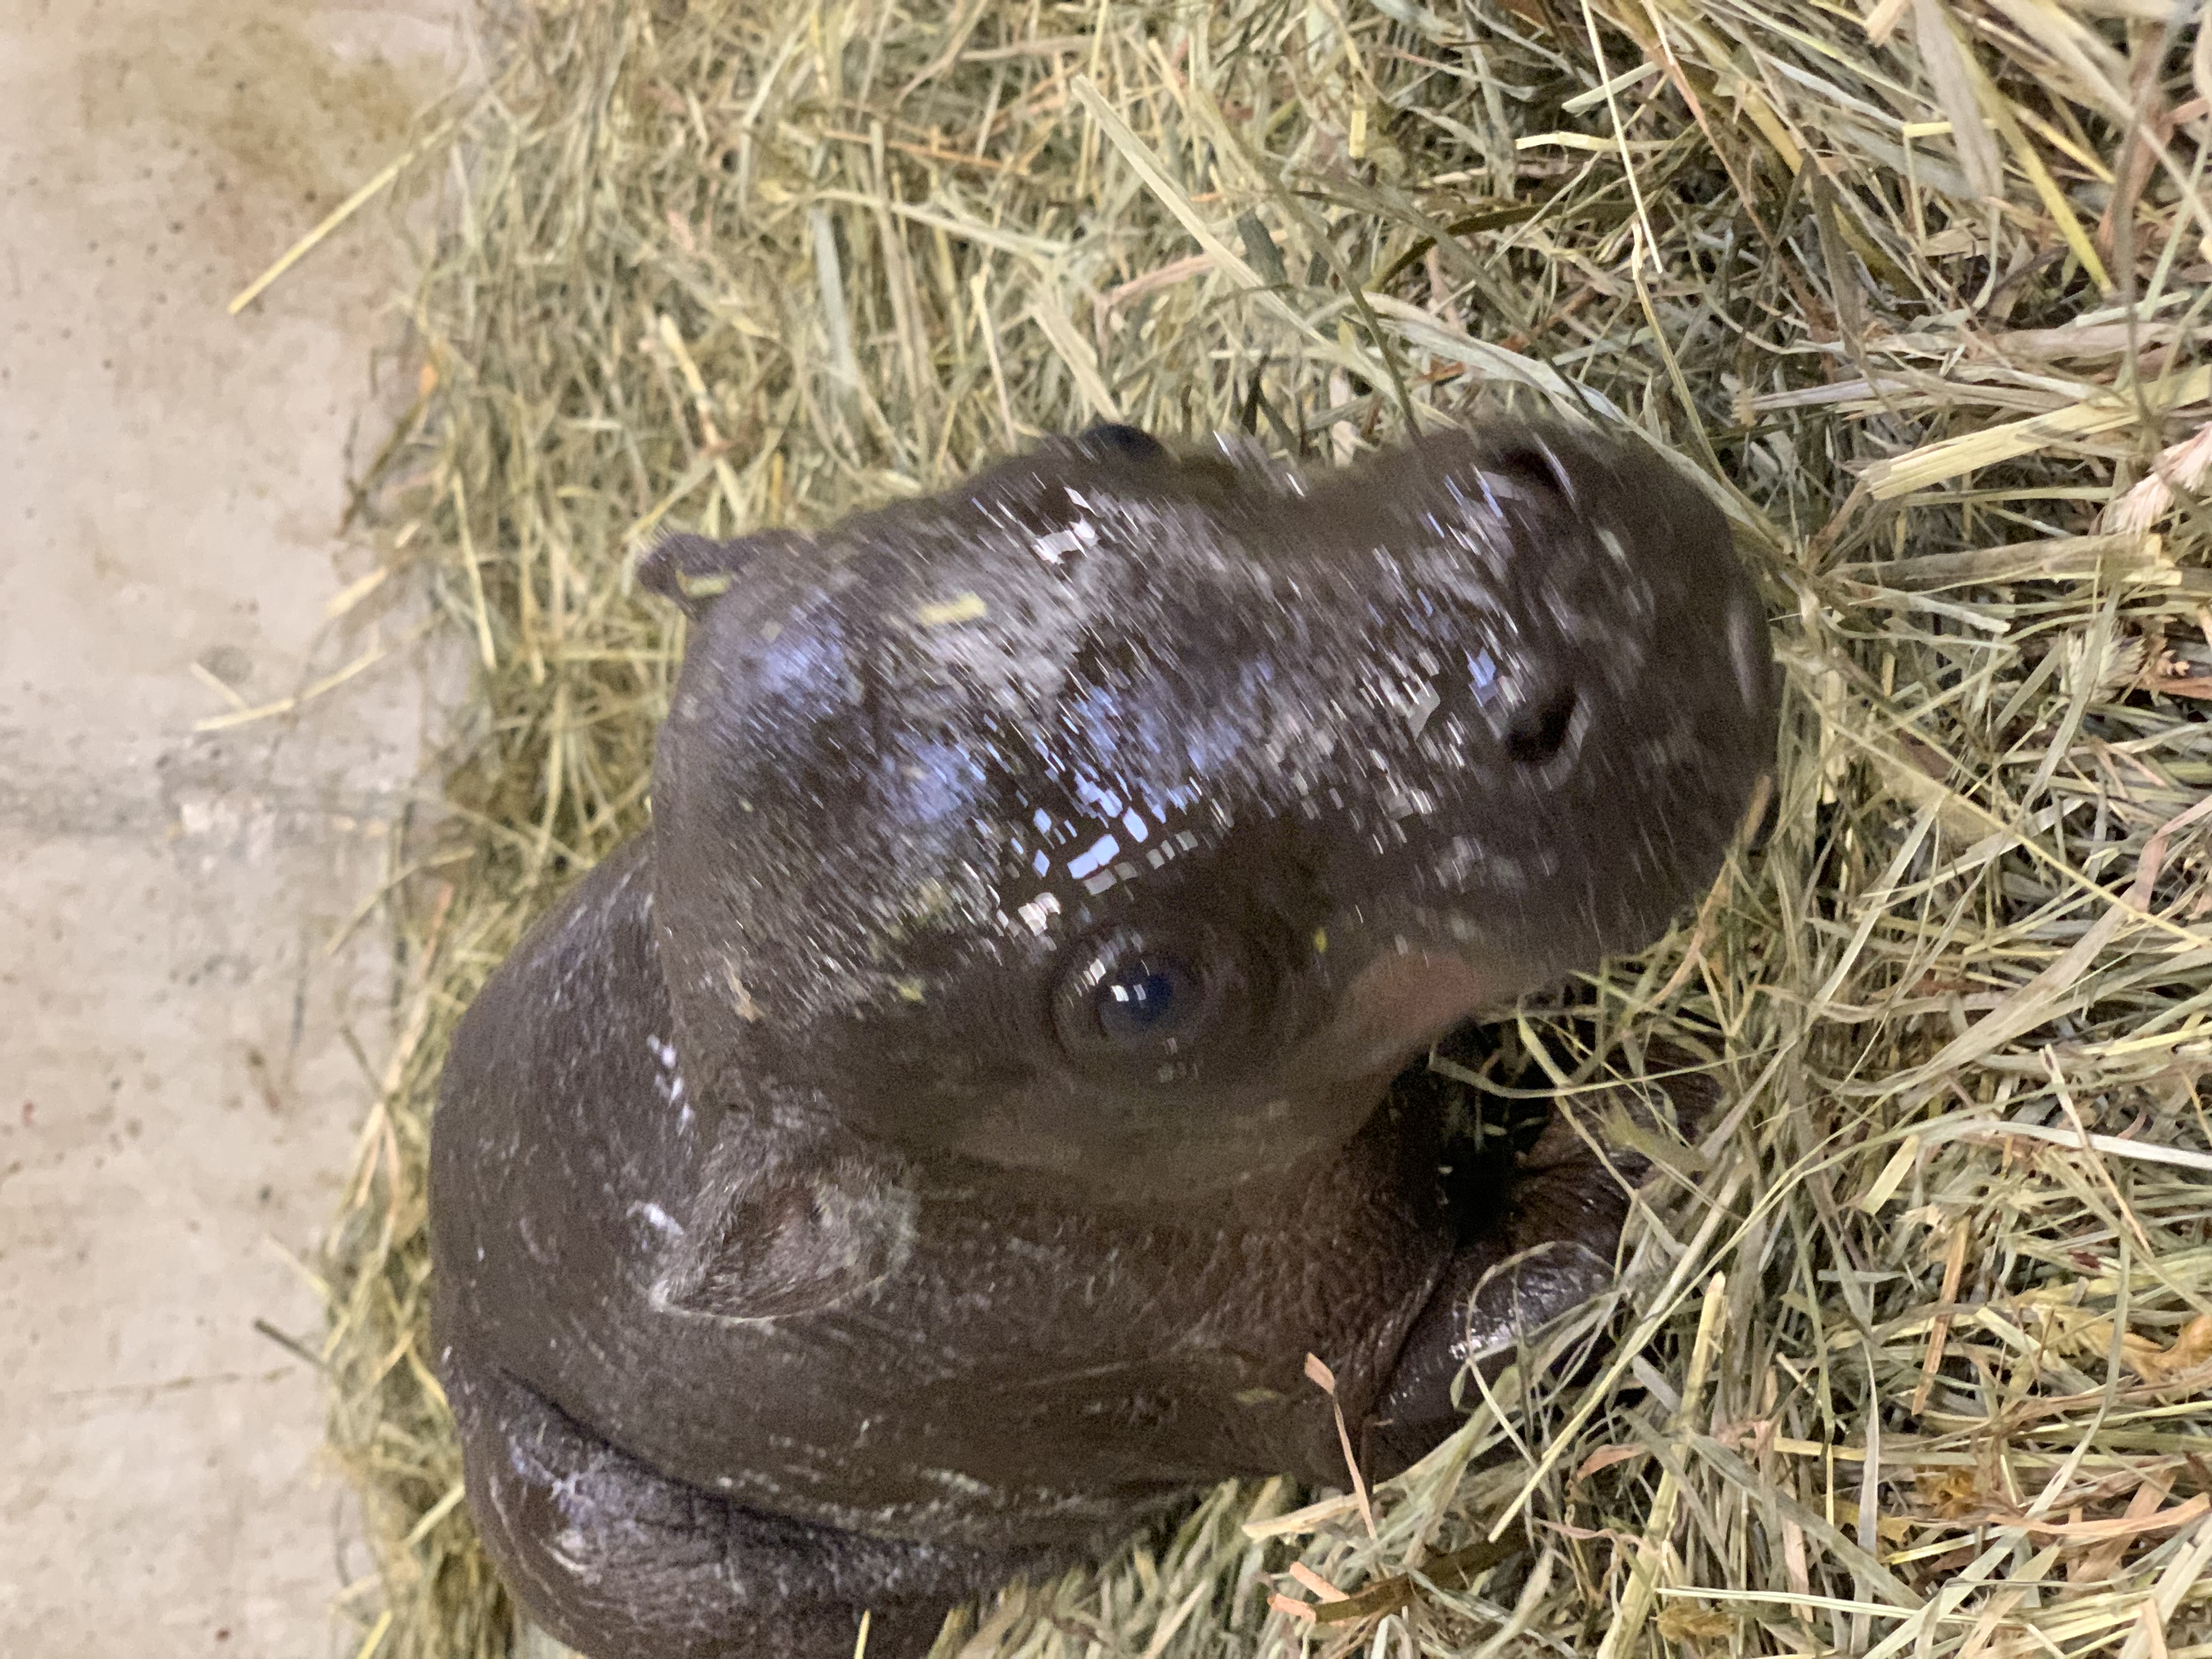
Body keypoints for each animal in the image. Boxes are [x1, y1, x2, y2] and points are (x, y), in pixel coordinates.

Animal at [428, 421, 1776, 1658]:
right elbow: (1515, 1308)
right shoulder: (1315, 1376)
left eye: (1104, 446)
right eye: (1144, 996)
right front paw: (1666, 1114)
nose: (1543, 594)